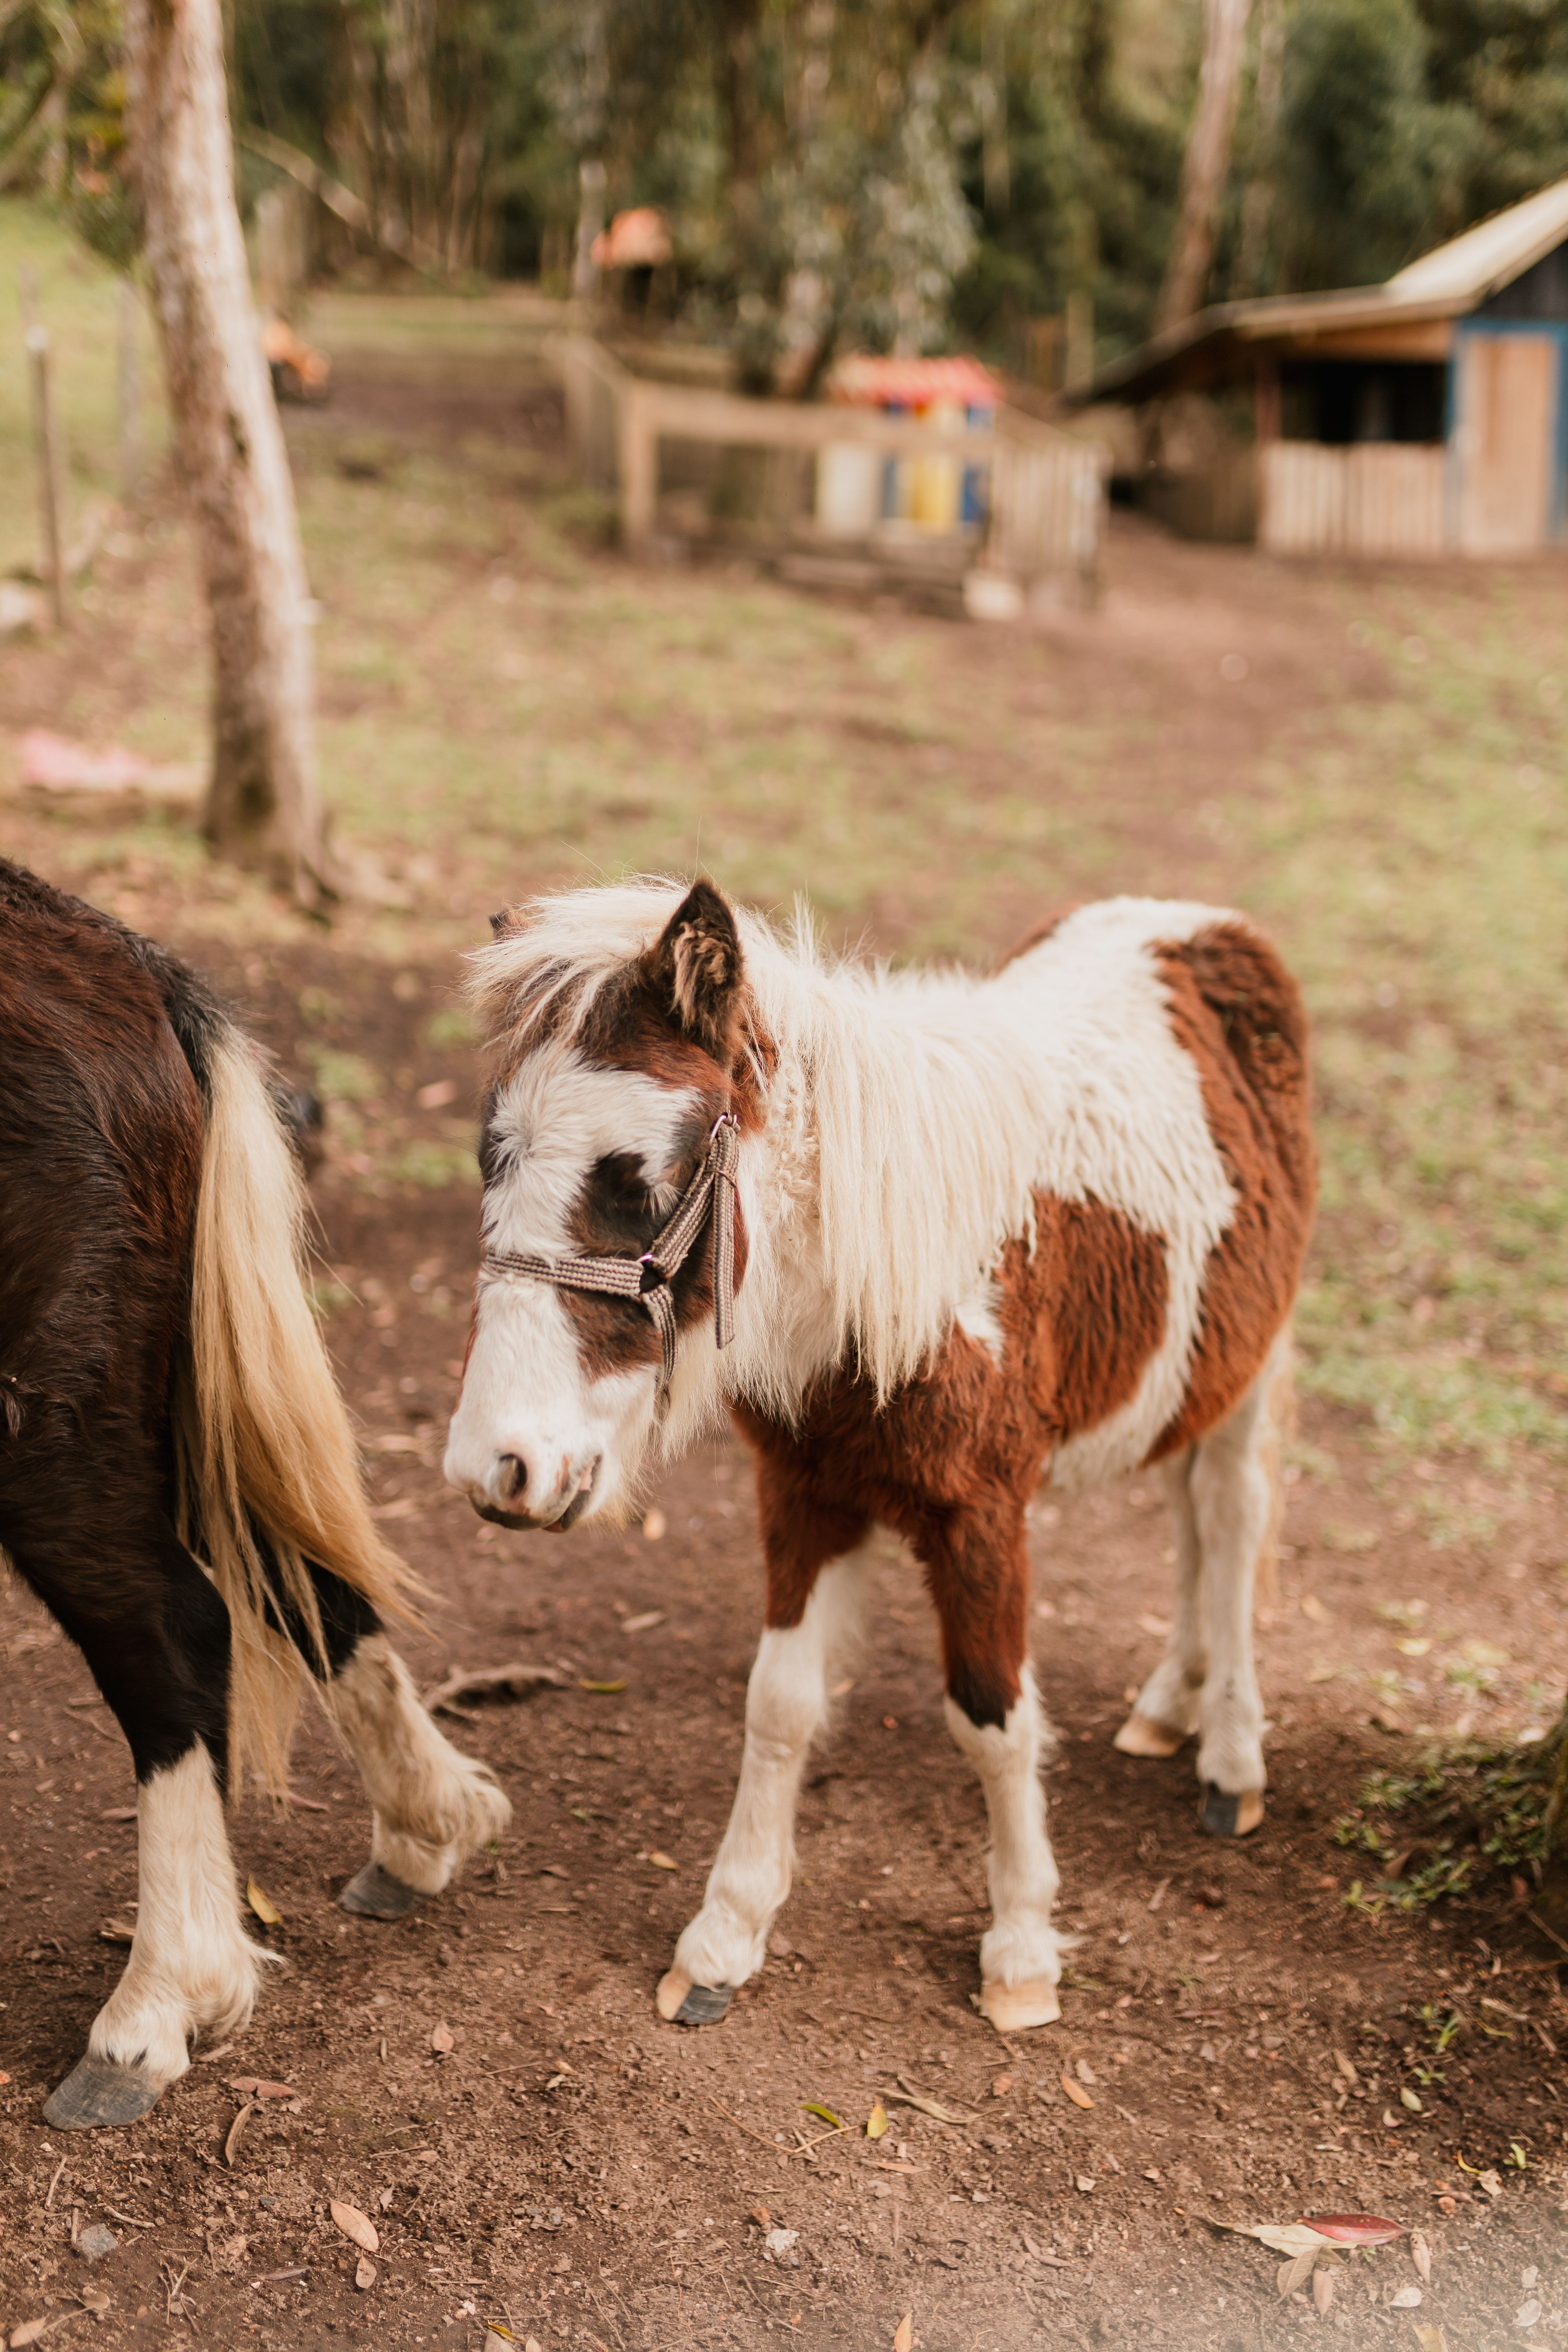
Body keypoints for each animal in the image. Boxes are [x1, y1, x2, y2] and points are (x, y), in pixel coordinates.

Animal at [0, 861, 508, 2128]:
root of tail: (123, 963)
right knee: (302, 1574)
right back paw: (427, 1824)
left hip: (49, 1423)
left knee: (170, 1629)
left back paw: (156, 2006)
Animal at [445, 877, 1315, 2037]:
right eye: (490, 1160)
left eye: (637, 1183)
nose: (497, 1467)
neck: (894, 1285)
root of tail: (1198, 921)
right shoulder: (805, 1494)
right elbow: (780, 1706)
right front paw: (724, 1939)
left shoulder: (982, 1513)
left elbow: (994, 1717)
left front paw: (1022, 1950)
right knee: (1189, 1521)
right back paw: (1169, 1706)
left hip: (1253, 1370)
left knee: (1230, 1519)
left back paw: (1230, 1754)